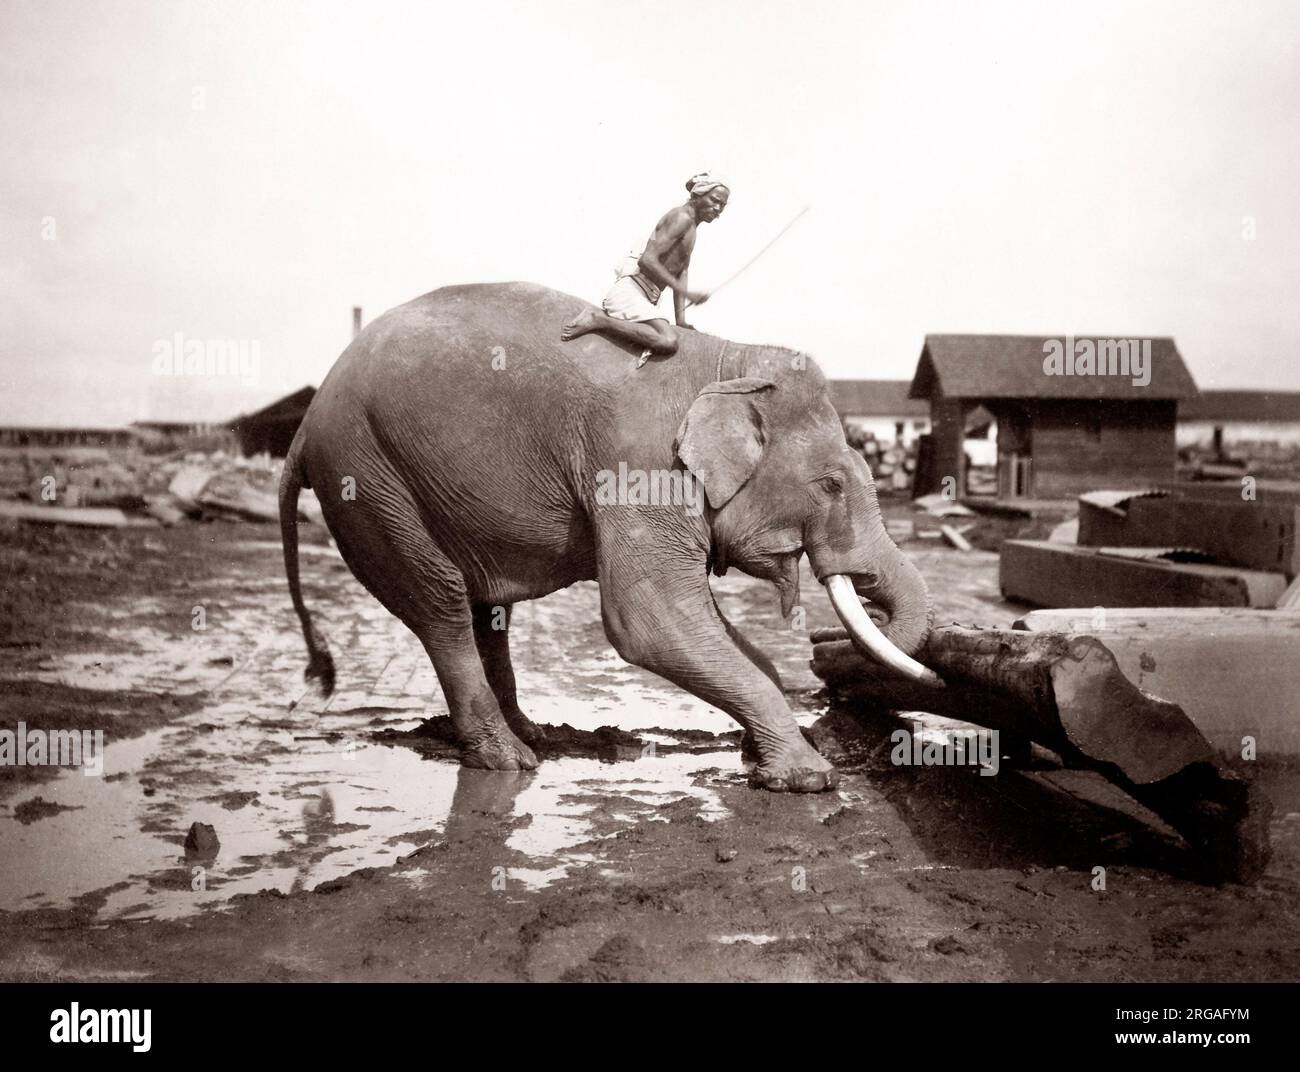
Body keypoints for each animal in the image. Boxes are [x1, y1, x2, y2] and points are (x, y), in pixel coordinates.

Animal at [279, 282, 941, 792]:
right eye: (831, 484)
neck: (725, 361)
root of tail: (304, 425)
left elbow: (700, 625)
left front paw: (761, 755)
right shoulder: (638, 466)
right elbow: (649, 621)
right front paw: (809, 777)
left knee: (486, 610)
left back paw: (530, 733)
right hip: (369, 477)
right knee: (441, 602)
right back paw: (510, 761)